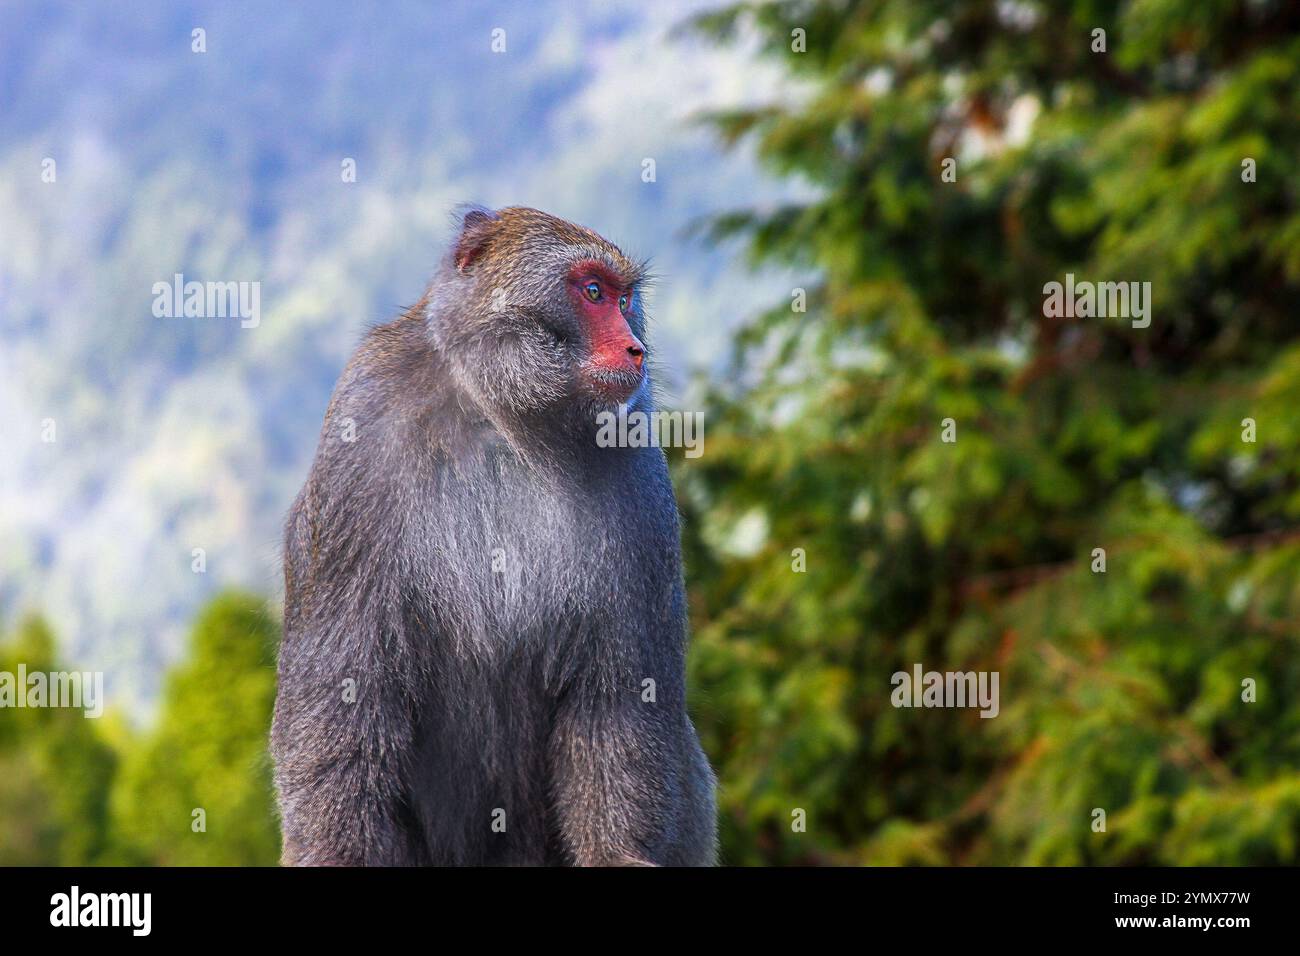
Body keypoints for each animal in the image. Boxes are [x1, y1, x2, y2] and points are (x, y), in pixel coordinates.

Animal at [270, 206, 717, 866]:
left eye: (625, 298)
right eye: (592, 292)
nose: (635, 349)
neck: (503, 419)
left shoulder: (638, 470)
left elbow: (620, 698)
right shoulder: (363, 424)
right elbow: (342, 696)